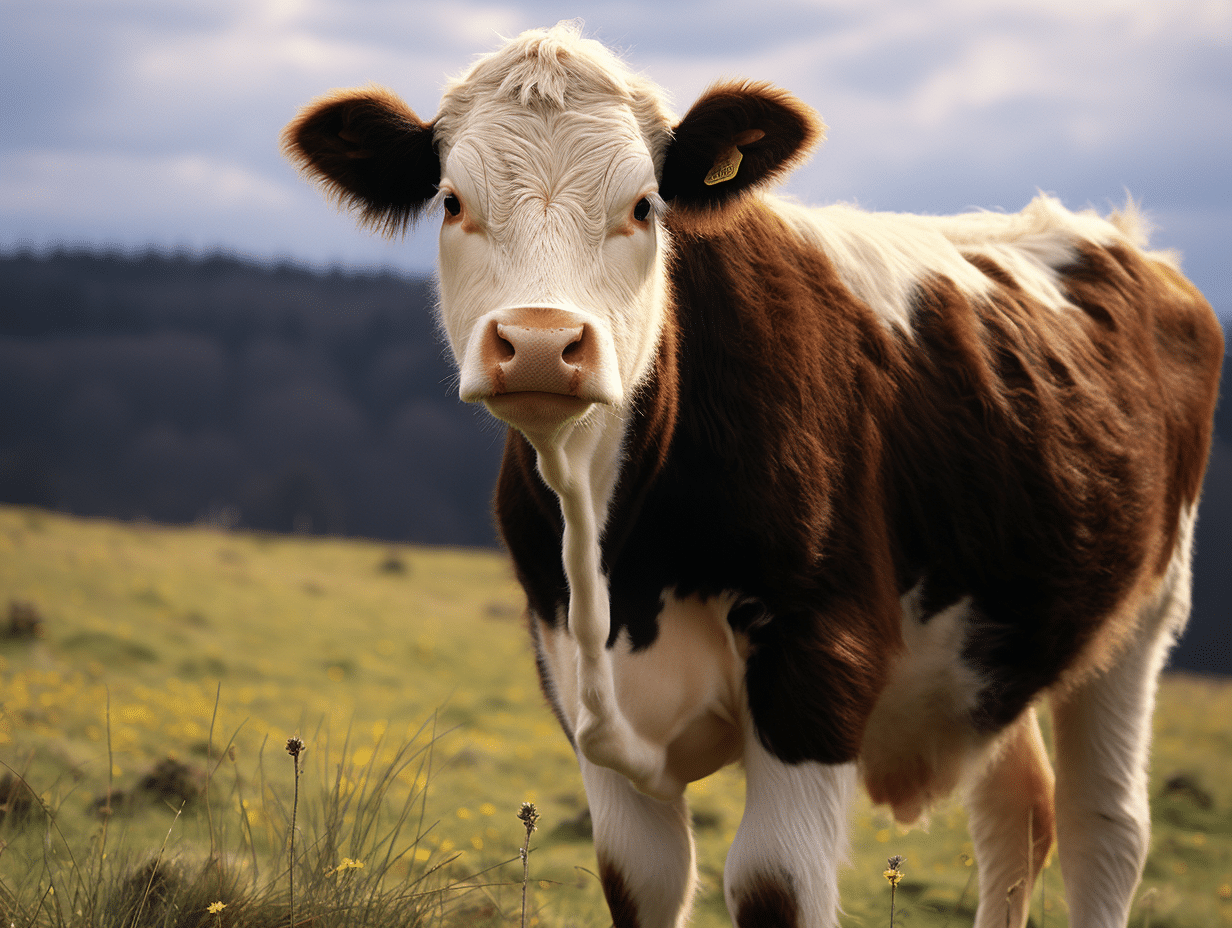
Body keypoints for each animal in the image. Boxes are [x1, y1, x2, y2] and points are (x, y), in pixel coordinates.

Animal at [283, 22, 1224, 928]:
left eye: (644, 205)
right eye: (452, 201)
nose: (543, 342)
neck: (613, 564)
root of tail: (1123, 240)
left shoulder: (818, 666)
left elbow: (773, 887)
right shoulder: (575, 683)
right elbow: (643, 886)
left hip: (1142, 619)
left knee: (1104, 828)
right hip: (992, 647)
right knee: (1016, 813)